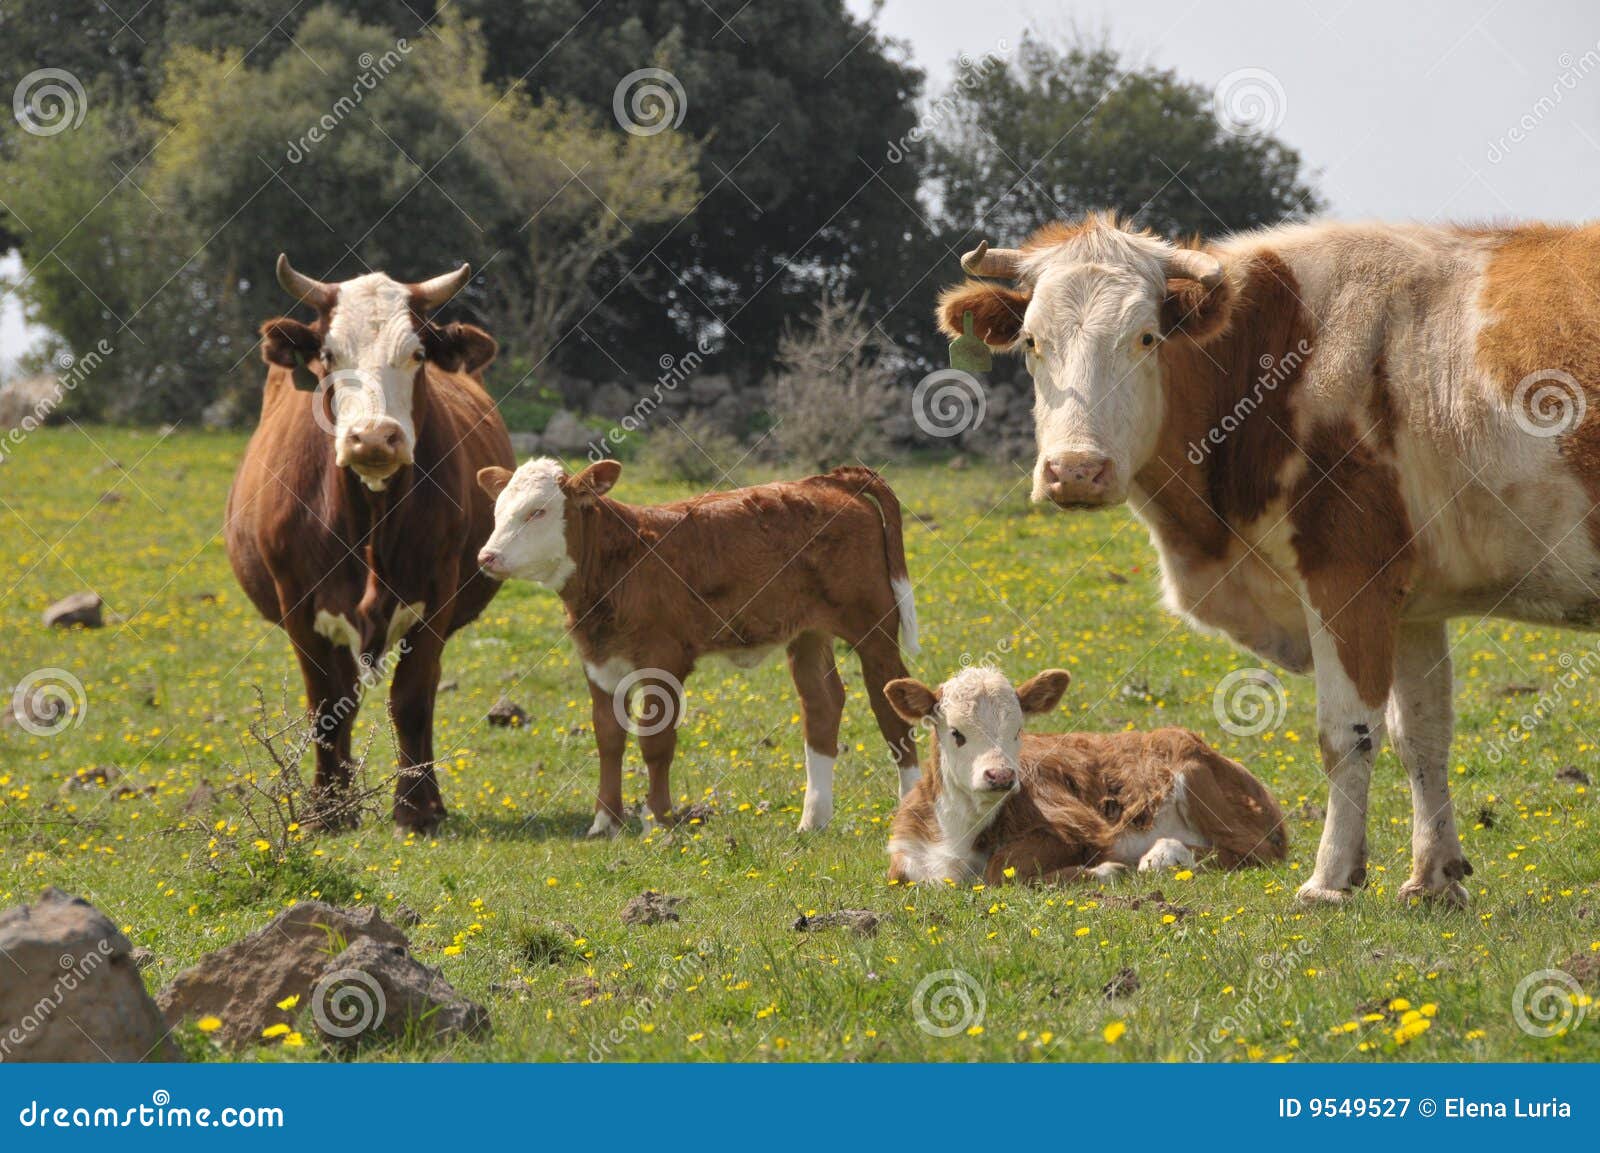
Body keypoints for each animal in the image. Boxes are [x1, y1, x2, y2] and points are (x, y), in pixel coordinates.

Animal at [226, 255, 514, 832]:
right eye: (329, 355)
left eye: (418, 354)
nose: (375, 438)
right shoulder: (298, 603)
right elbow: (326, 706)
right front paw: (327, 811)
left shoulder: (437, 597)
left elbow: (413, 698)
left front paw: (417, 809)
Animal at [473, 458, 921, 835]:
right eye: (497, 512)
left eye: (537, 511)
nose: (487, 556)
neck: (618, 565)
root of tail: (825, 481)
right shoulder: (598, 661)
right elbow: (609, 738)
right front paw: (605, 823)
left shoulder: (664, 659)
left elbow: (655, 743)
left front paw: (659, 822)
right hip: (807, 633)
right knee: (821, 706)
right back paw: (813, 820)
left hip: (874, 627)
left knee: (891, 712)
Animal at [883, 666, 1286, 885]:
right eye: (956, 732)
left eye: (1018, 730)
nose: (1000, 776)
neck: (959, 839)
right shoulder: (905, 853)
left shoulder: (1077, 830)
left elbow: (1003, 869)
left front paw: (1107, 870)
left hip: (1194, 773)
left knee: (1252, 851)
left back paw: (1163, 856)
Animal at [936, 211, 1600, 905]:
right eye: (1032, 342)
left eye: (1145, 337)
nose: (1075, 470)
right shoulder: (1413, 602)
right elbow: (1422, 734)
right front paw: (1434, 880)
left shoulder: (1345, 575)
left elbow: (1347, 736)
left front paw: (1329, 881)